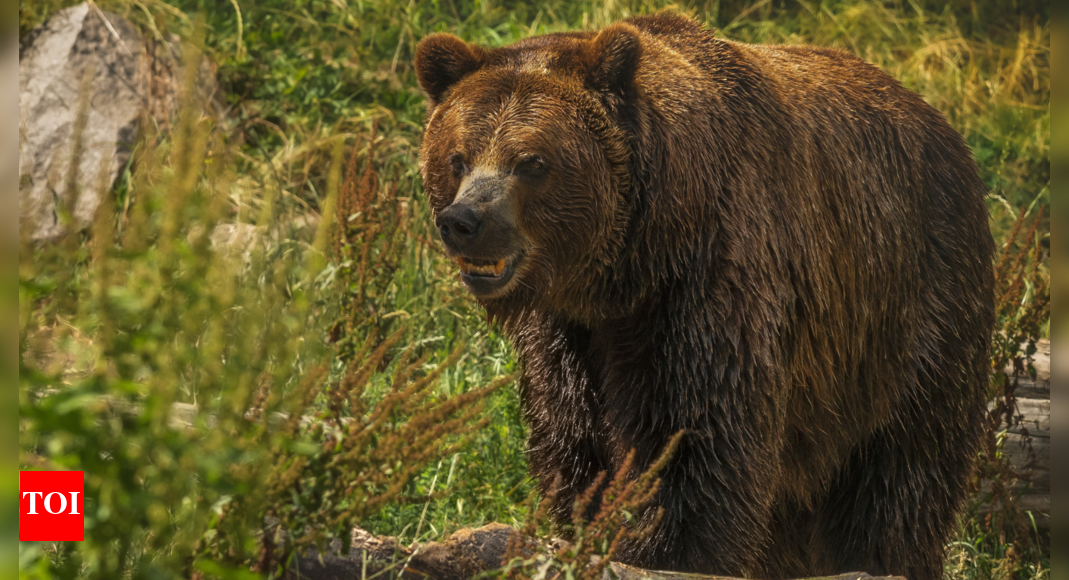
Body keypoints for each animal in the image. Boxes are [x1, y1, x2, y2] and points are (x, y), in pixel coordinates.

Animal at [415, 12, 994, 580]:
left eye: (532, 161)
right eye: (458, 157)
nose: (464, 221)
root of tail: (944, 125)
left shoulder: (709, 289)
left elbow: (695, 444)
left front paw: (660, 553)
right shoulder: (567, 334)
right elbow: (574, 443)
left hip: (910, 311)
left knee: (901, 472)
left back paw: (883, 558)